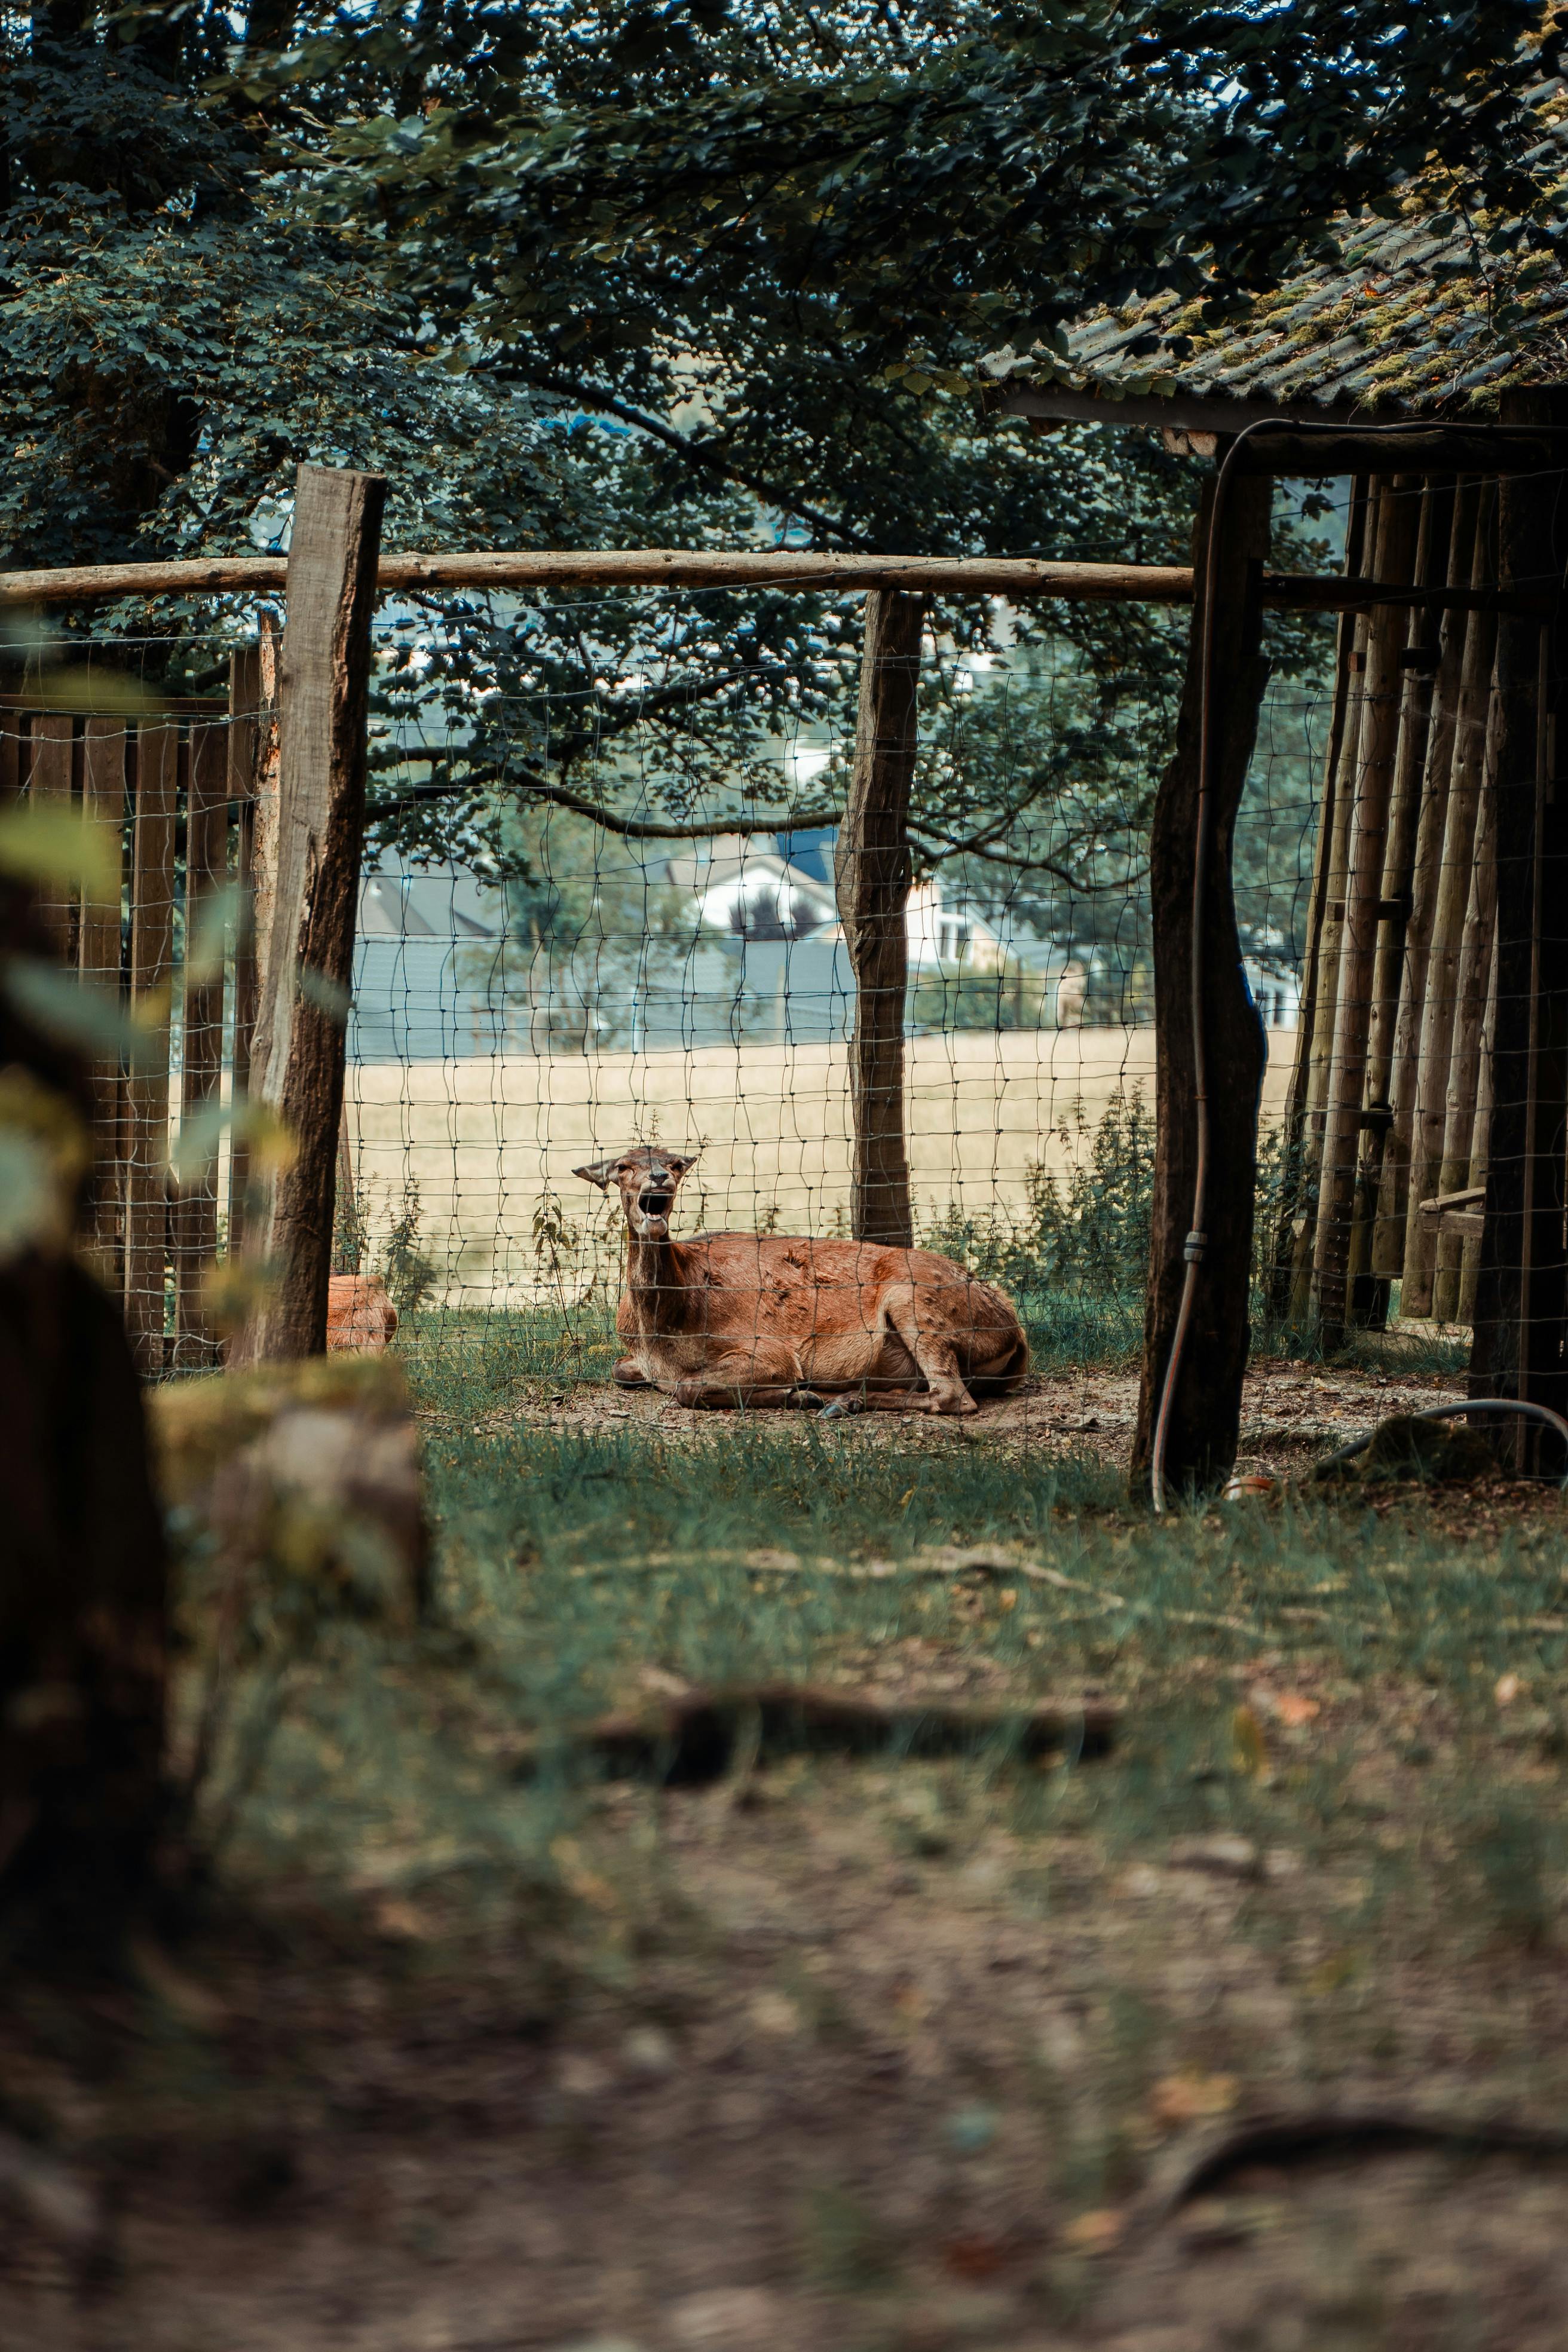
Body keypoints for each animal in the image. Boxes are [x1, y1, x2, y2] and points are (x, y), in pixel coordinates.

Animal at [573, 1145, 1028, 1415]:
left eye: (673, 1163)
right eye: (623, 1166)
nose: (658, 1177)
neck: (661, 1330)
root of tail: (1017, 1334)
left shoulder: (769, 1350)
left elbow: (688, 1388)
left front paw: (796, 1393)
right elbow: (619, 1369)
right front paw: (800, 1394)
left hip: (916, 1299)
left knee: (954, 1396)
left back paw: (844, 1401)